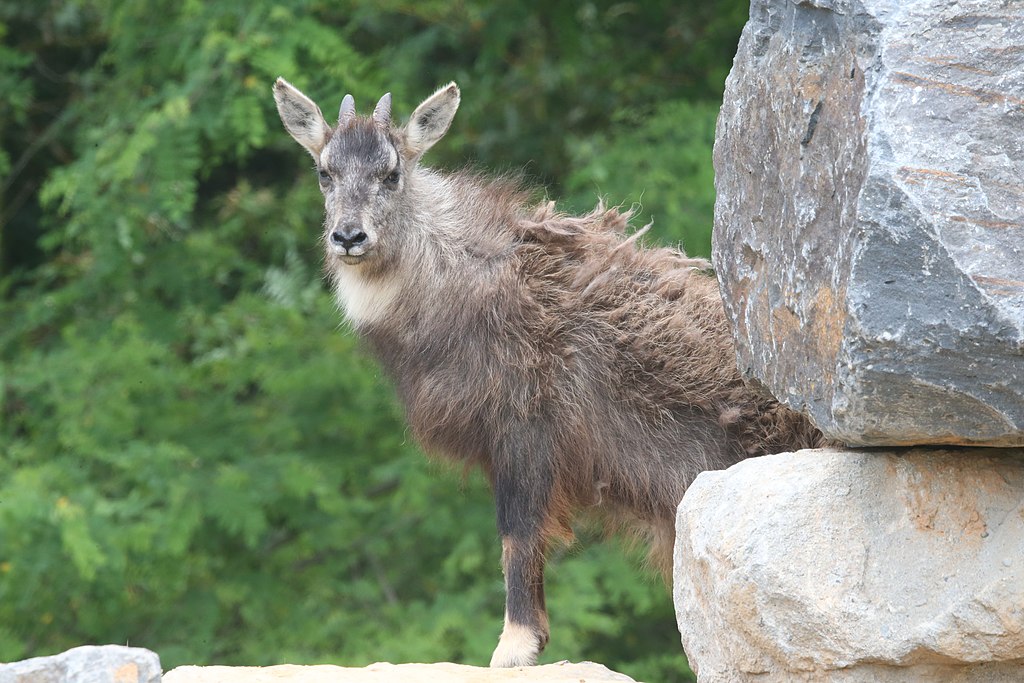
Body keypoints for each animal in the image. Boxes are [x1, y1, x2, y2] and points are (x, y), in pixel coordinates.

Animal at [272, 78, 826, 668]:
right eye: (324, 172)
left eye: (392, 173)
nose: (348, 236)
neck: (457, 278)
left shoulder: (525, 428)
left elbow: (517, 534)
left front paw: (515, 646)